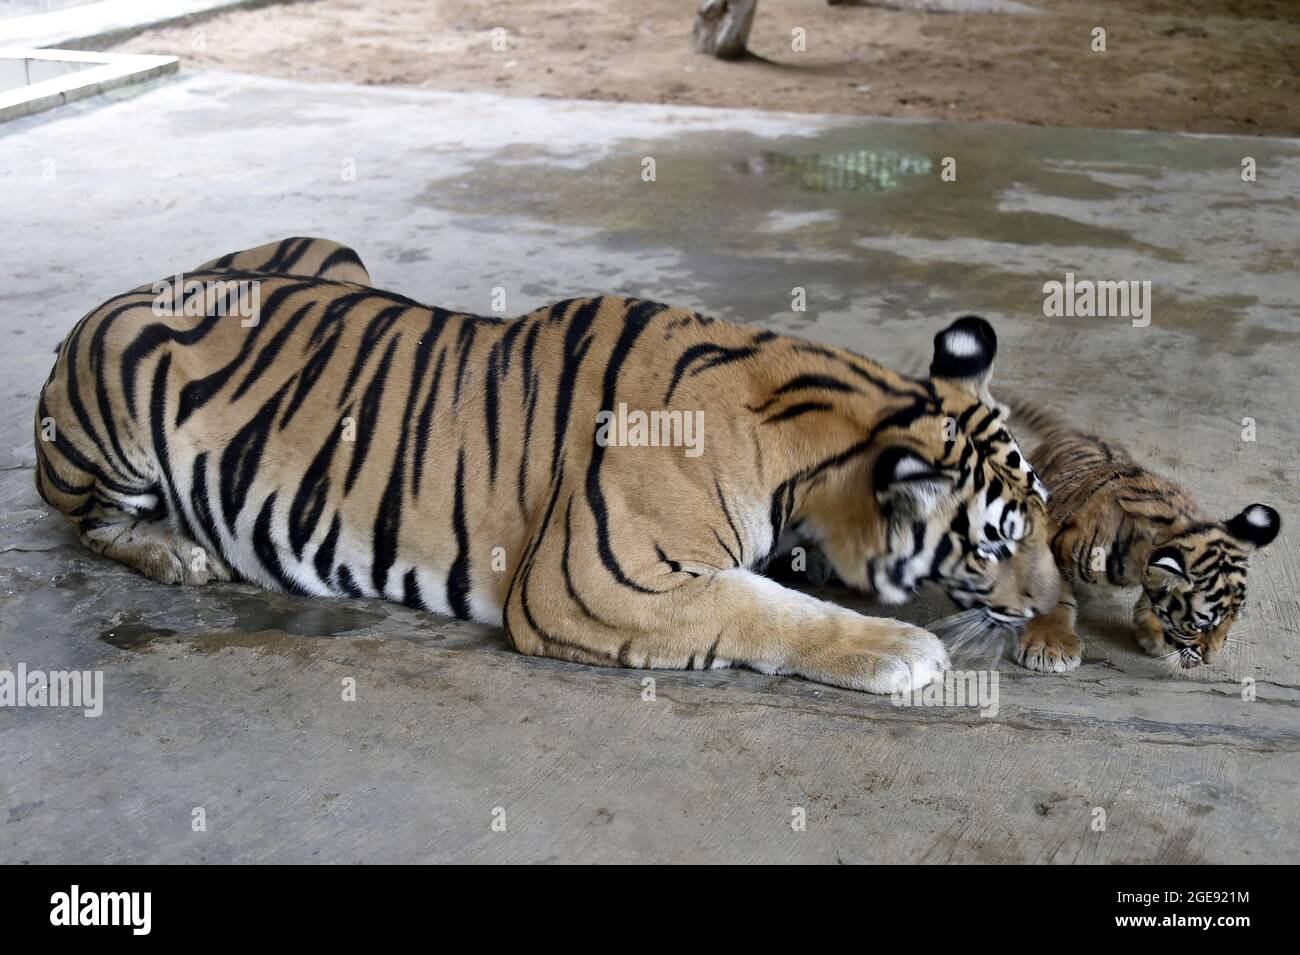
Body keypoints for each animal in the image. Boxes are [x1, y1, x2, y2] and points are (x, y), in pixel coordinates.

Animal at [34, 237, 1061, 695]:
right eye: (992, 545)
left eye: (1045, 517)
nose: (1055, 607)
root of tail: (132, 286)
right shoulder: (596, 583)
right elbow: (766, 608)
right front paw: (901, 649)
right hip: (115, 414)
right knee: (83, 519)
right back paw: (179, 551)